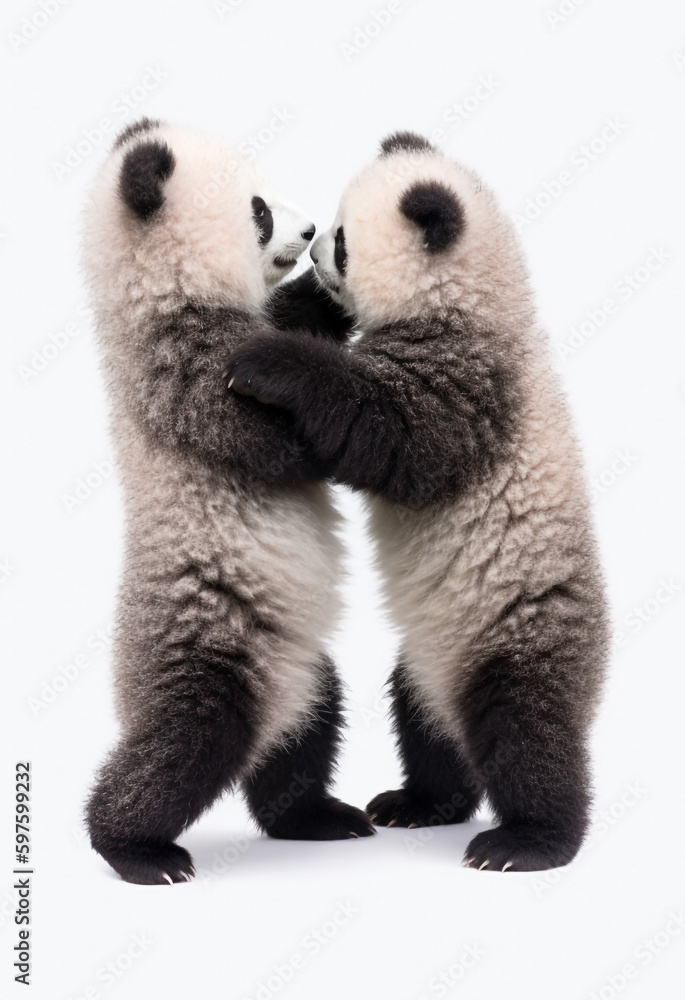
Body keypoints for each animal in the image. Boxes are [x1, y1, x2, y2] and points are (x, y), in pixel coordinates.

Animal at [82, 118, 374, 886]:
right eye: (258, 210)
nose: (309, 231)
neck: (157, 284)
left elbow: (294, 319)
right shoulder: (177, 366)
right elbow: (280, 448)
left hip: (297, 655)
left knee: (305, 736)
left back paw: (318, 817)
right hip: (210, 635)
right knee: (187, 744)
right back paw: (136, 849)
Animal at [227, 131, 610, 873]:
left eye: (345, 241)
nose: (313, 251)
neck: (472, 289)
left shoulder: (473, 386)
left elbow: (391, 440)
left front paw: (267, 361)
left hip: (513, 626)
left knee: (528, 734)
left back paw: (525, 842)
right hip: (430, 654)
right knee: (426, 726)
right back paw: (418, 804)